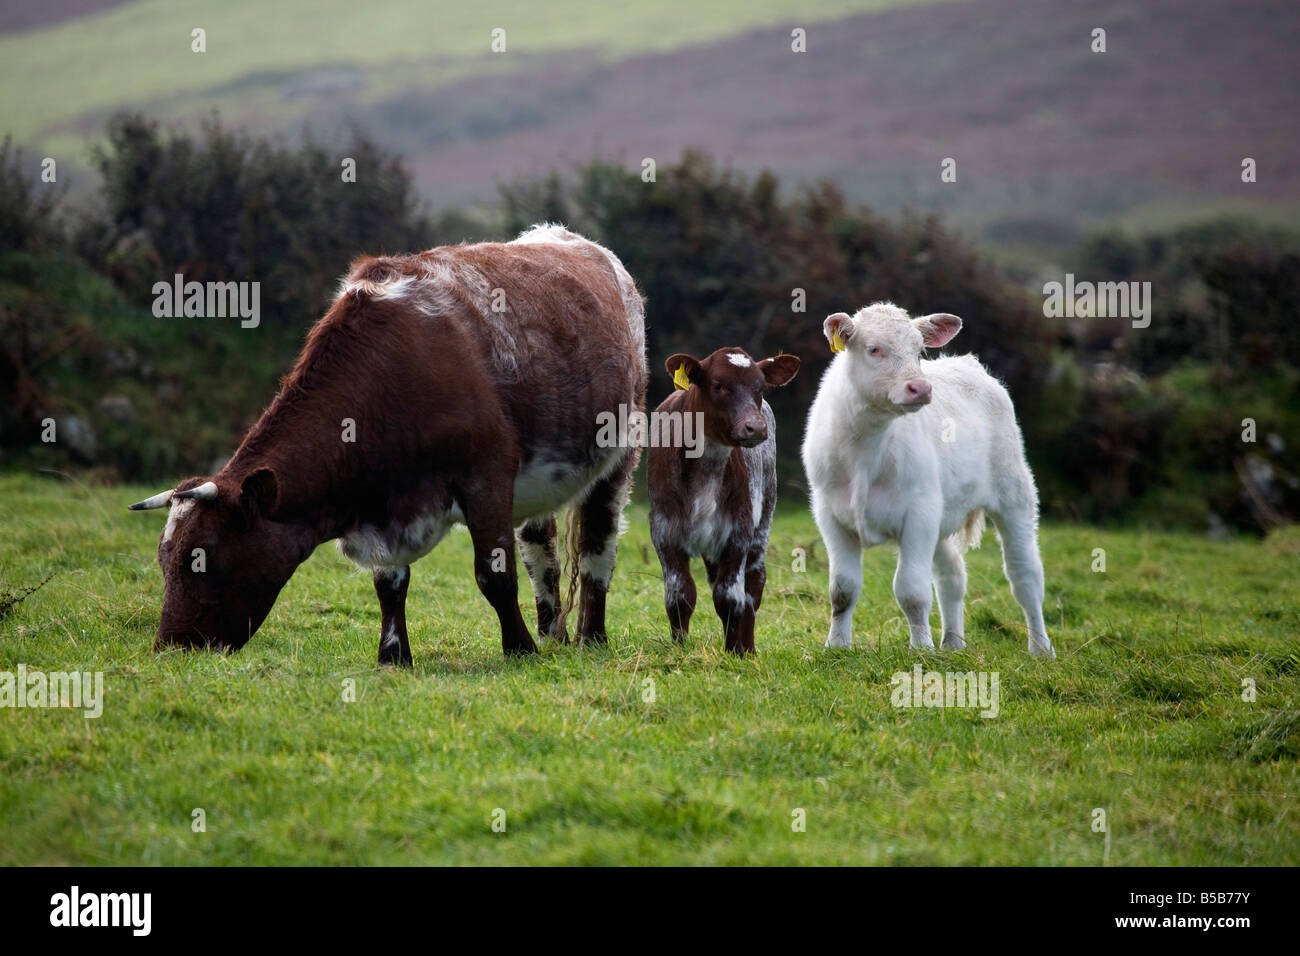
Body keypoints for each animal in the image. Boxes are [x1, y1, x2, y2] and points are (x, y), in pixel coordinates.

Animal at [128, 224, 647, 663]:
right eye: (164, 560)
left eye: (204, 559)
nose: (170, 647)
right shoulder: (381, 501)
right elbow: (390, 583)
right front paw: (394, 654)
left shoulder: (487, 478)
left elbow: (494, 574)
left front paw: (519, 649)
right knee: (544, 554)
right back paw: (552, 635)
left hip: (619, 458)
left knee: (597, 547)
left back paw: (591, 637)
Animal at [648, 347, 800, 655]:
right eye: (718, 385)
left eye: (760, 387)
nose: (755, 427)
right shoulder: (663, 529)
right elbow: (679, 594)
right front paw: (680, 648)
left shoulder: (738, 529)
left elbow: (729, 597)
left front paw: (734, 652)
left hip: (764, 514)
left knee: (753, 584)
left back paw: (748, 648)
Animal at [801, 302, 1055, 658]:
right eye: (874, 348)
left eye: (919, 351)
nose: (920, 388)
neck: (867, 448)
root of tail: (967, 363)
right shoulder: (830, 515)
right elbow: (842, 589)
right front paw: (836, 645)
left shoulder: (919, 513)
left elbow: (912, 590)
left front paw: (921, 648)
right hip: (944, 515)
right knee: (952, 576)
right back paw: (953, 643)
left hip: (1014, 493)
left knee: (1025, 575)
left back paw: (1040, 648)